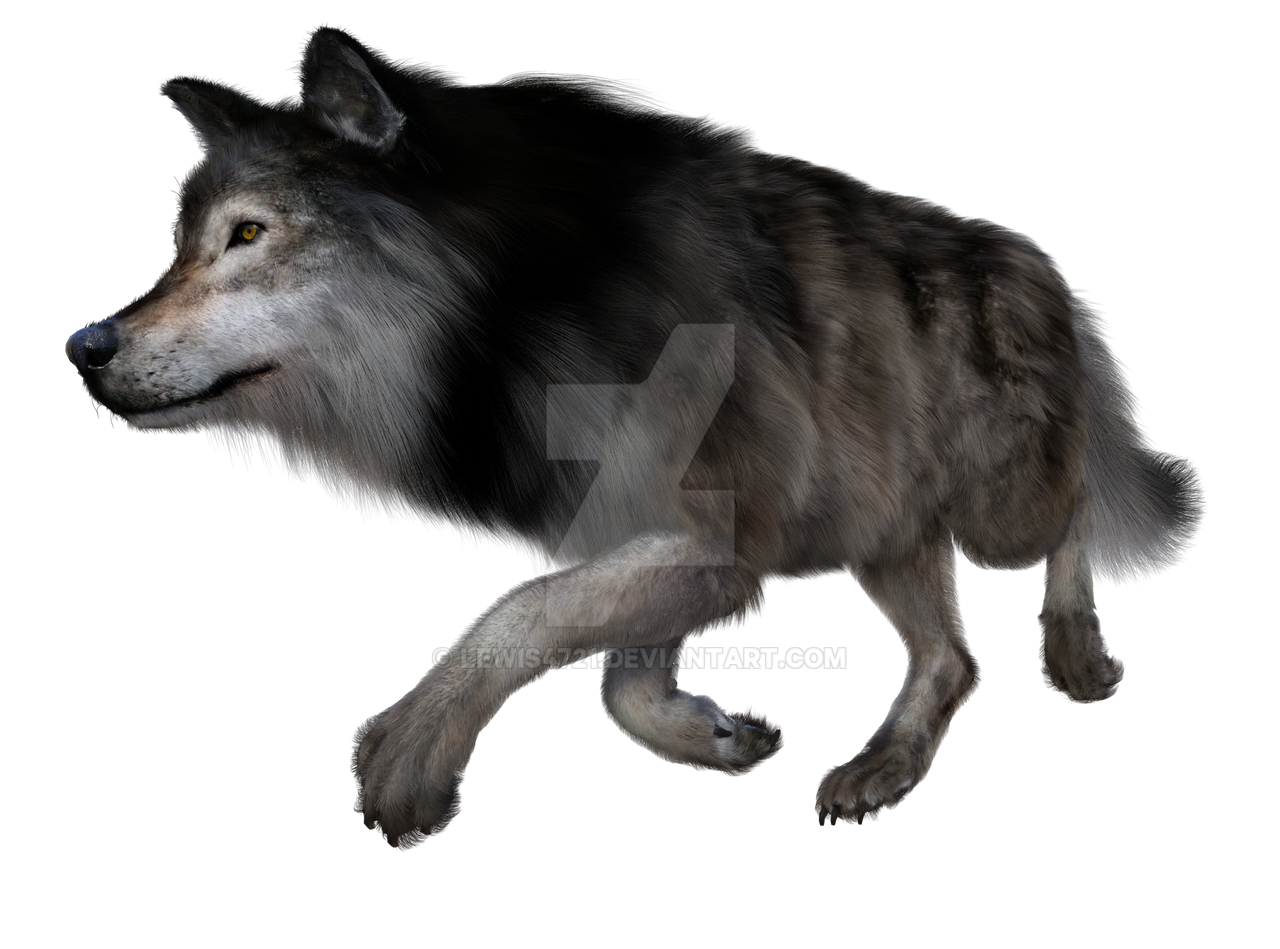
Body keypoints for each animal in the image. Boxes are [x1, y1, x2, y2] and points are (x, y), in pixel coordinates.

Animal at [64, 30, 1195, 848]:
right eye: (178, 246)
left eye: (249, 234)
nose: (82, 345)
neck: (518, 320)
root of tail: (1043, 261)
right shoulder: (623, 536)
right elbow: (610, 677)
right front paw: (720, 738)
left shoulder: (707, 542)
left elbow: (515, 614)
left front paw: (408, 757)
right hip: (877, 527)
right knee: (952, 661)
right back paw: (882, 770)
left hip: (994, 512)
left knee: (1075, 509)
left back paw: (1076, 652)